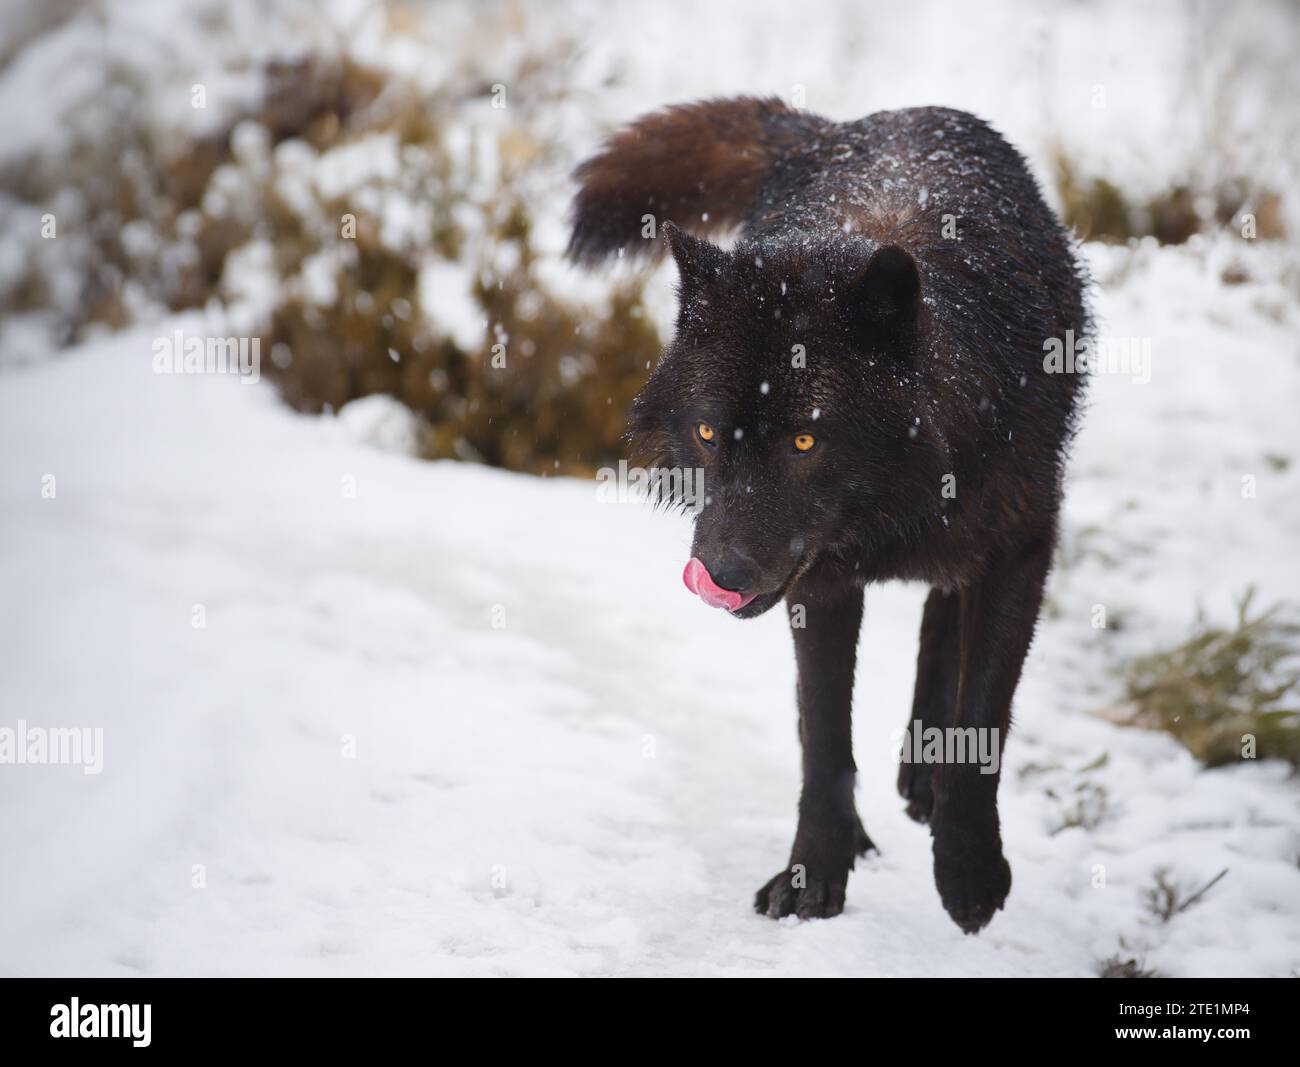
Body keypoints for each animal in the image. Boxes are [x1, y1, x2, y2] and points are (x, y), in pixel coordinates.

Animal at [569, 97, 1088, 933]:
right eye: (708, 432)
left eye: (805, 440)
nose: (719, 573)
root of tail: (833, 125)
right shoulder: (821, 586)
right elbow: (823, 739)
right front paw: (814, 873)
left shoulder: (1022, 551)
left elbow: (982, 720)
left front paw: (970, 871)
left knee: (944, 616)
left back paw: (923, 776)